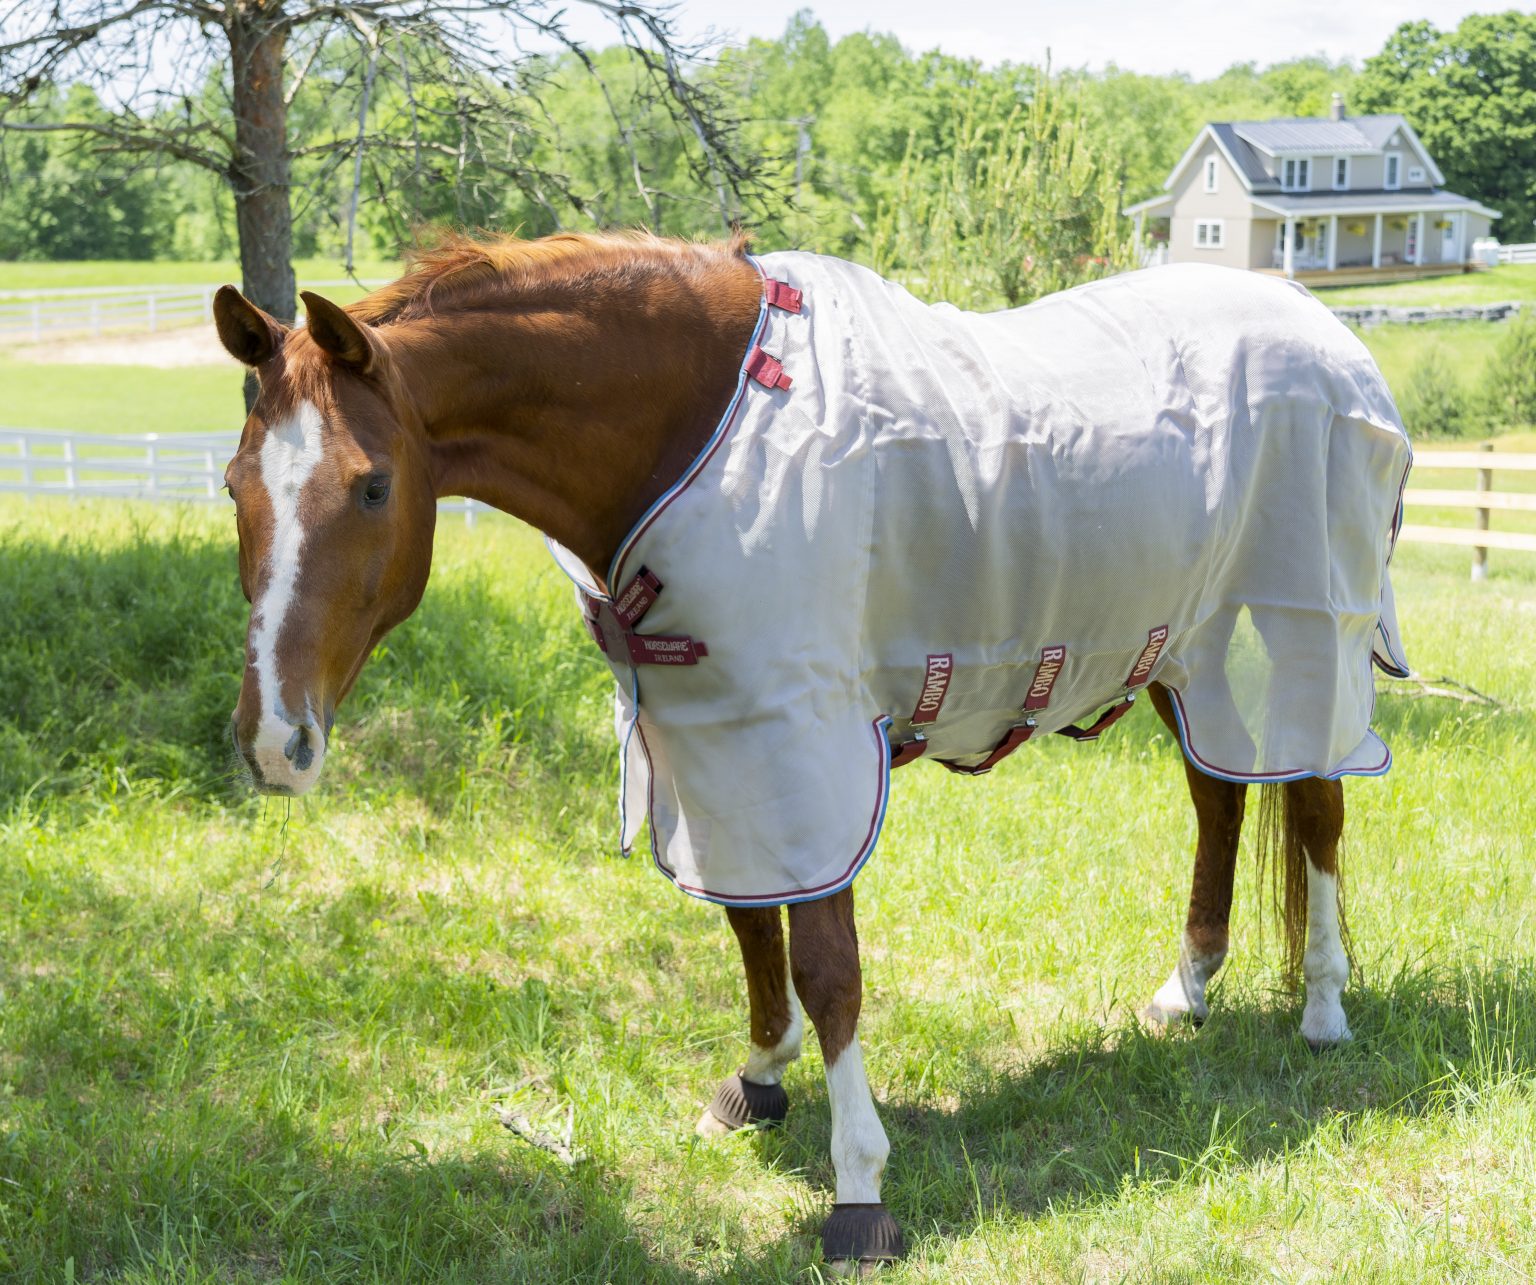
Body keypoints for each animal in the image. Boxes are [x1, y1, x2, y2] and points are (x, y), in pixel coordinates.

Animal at [214, 230, 1410, 1270]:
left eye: (372, 485)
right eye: (235, 484)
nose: (276, 743)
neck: (693, 421)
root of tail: (1337, 345)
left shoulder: (809, 740)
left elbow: (830, 968)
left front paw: (859, 1192)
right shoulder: (716, 740)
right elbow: (751, 927)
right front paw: (756, 1080)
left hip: (1302, 634)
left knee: (1317, 809)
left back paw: (1323, 1009)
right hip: (1184, 648)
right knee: (1223, 797)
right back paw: (1186, 990)